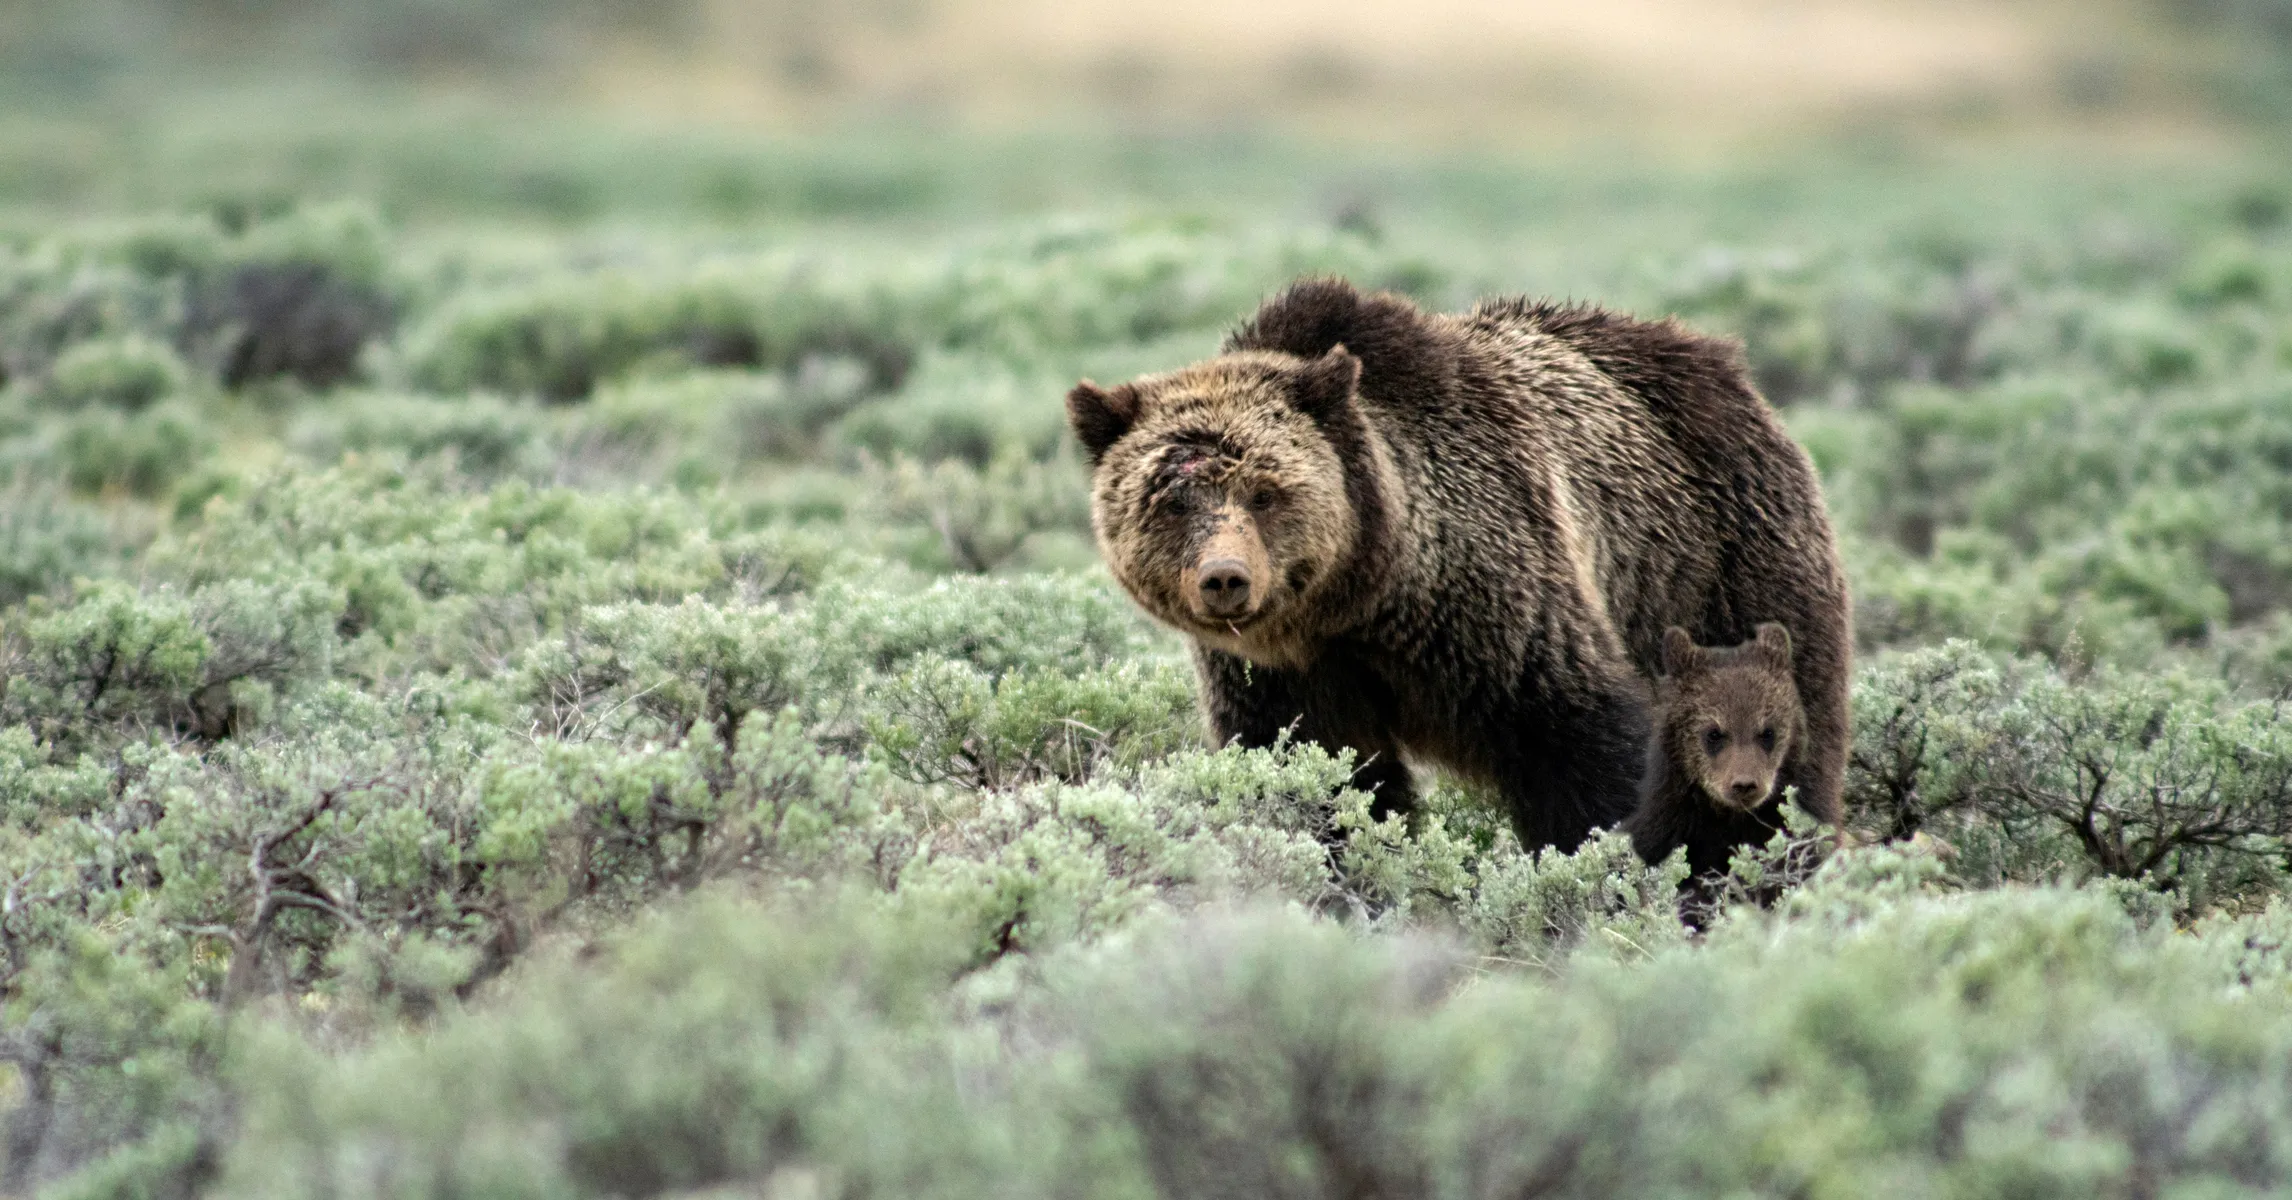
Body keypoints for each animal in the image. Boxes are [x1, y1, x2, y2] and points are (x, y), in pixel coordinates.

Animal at [1065, 277, 1850, 854]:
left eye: (1265, 491)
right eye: (1172, 498)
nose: (1225, 579)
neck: (1362, 598)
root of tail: (1723, 361)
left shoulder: (1496, 603)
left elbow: (1585, 744)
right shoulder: (1287, 675)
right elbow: (1317, 777)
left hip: (1724, 562)